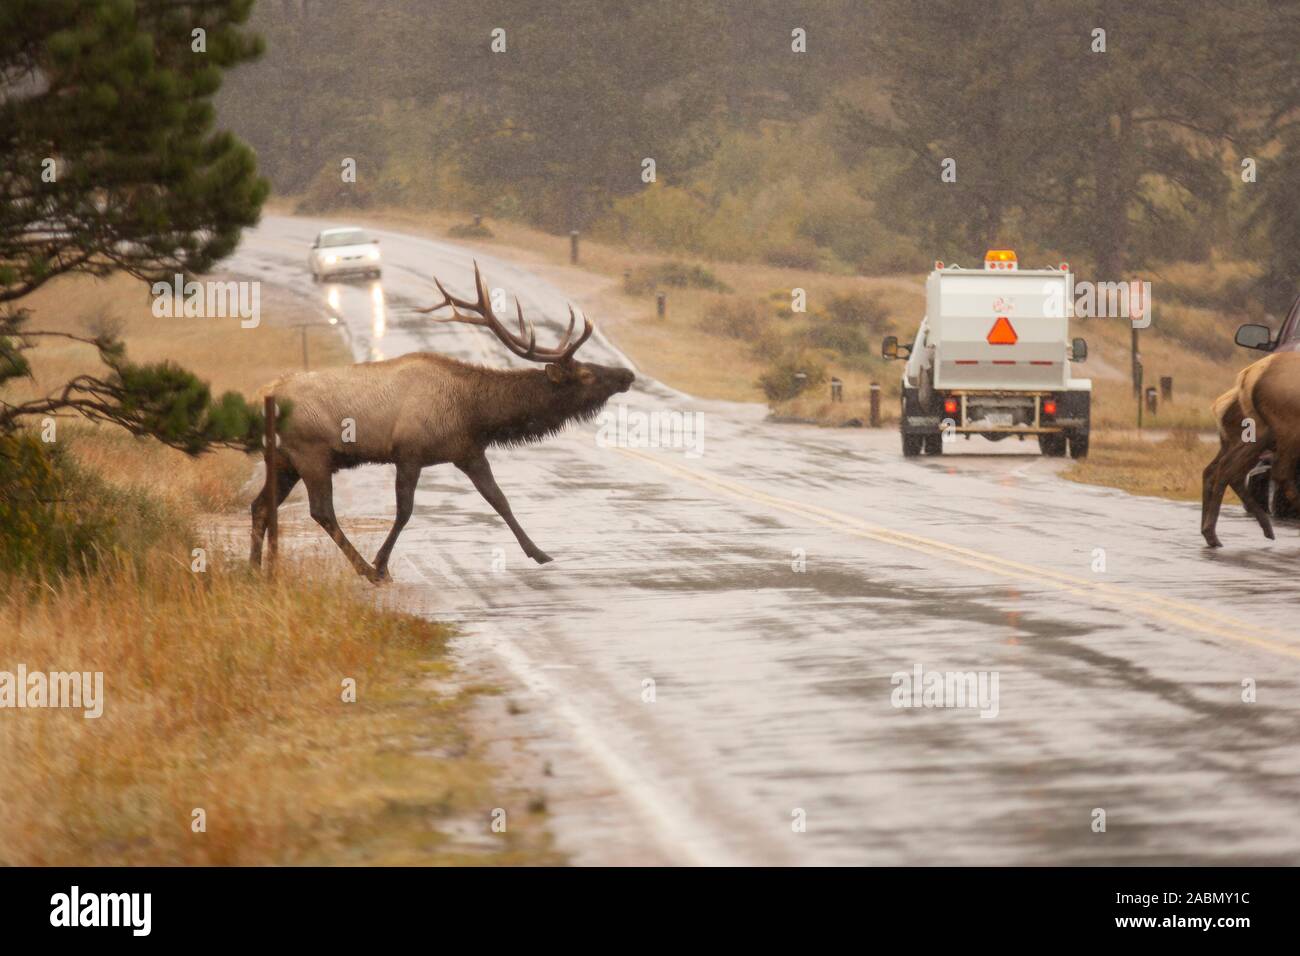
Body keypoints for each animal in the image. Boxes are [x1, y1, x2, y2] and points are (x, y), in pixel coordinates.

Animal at [250, 262, 636, 582]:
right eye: (586, 374)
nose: (627, 375)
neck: (473, 412)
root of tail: (264, 397)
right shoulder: (409, 452)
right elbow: (405, 511)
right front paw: (382, 565)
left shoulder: (468, 451)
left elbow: (499, 500)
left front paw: (540, 553)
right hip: (312, 454)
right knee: (321, 511)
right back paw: (365, 571)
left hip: (284, 459)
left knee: (261, 506)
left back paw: (254, 570)